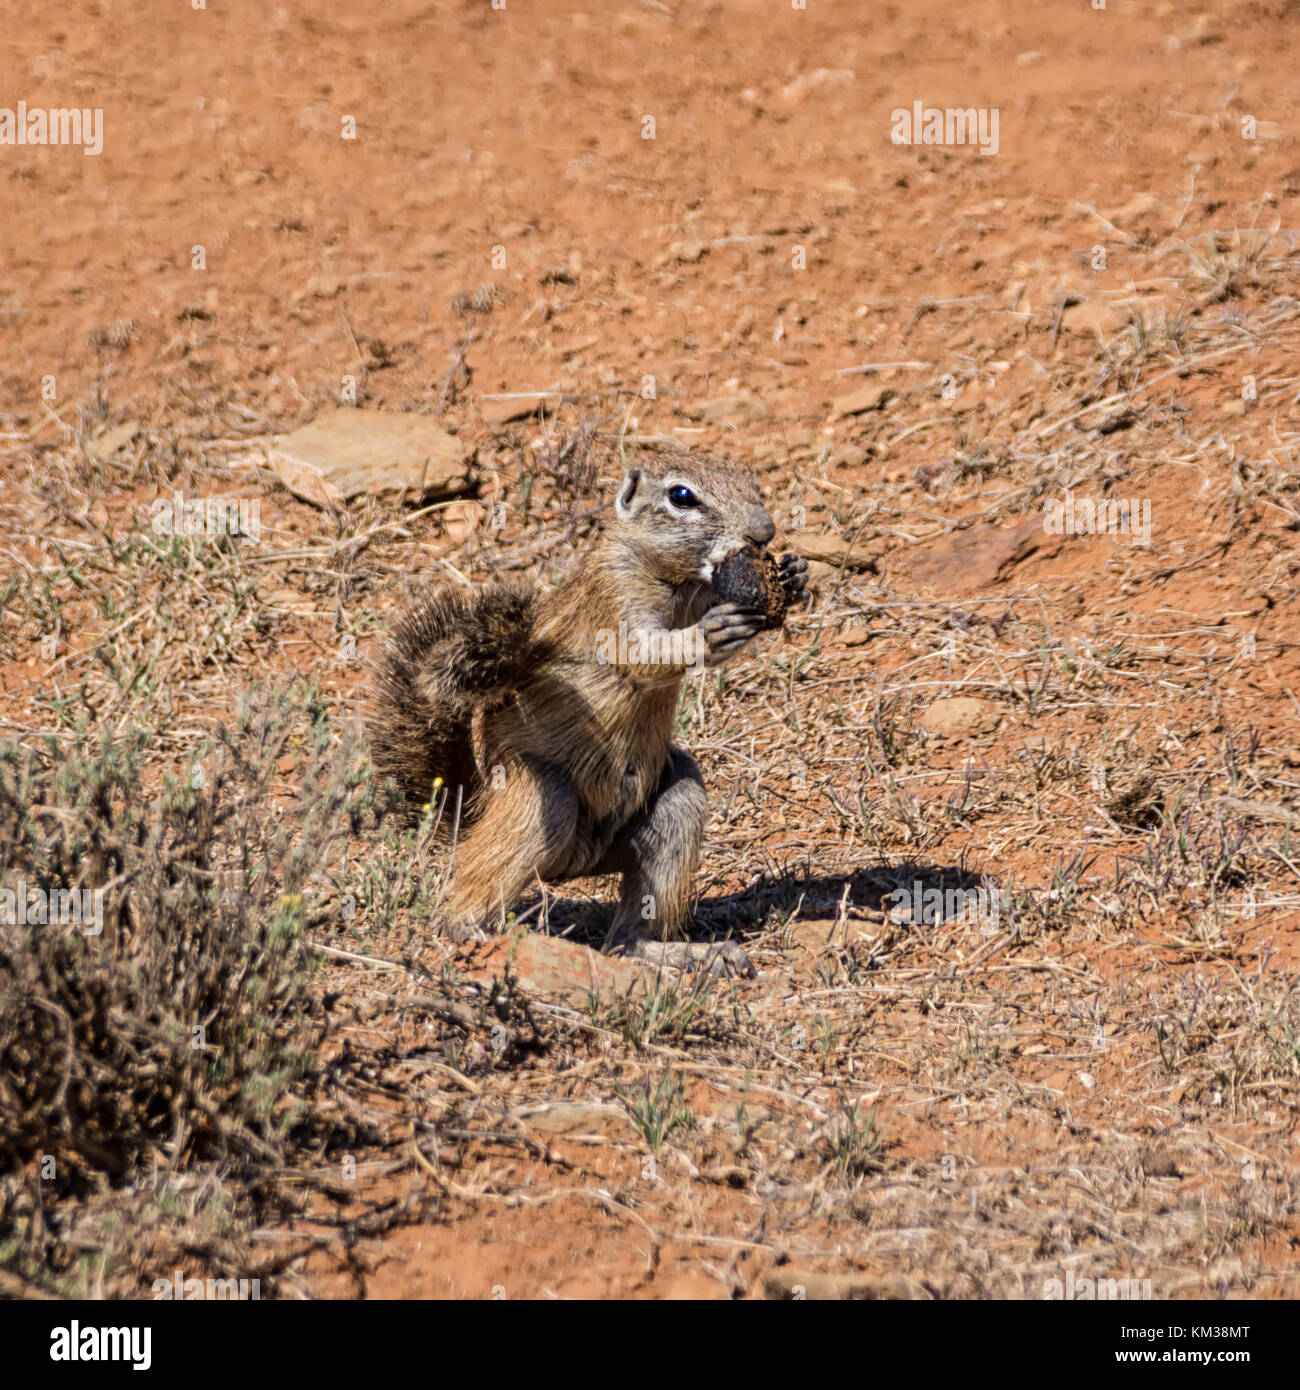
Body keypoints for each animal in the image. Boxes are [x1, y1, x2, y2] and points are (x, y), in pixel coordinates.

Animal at [367, 449, 807, 976]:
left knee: (625, 937)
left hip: (677, 803)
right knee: (471, 892)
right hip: (540, 794)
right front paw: (708, 634)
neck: (675, 582)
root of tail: (470, 816)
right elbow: (639, 654)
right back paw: (474, 932)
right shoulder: (612, 598)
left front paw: (794, 574)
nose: (764, 532)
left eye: (751, 480)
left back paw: (691, 953)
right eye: (682, 496)